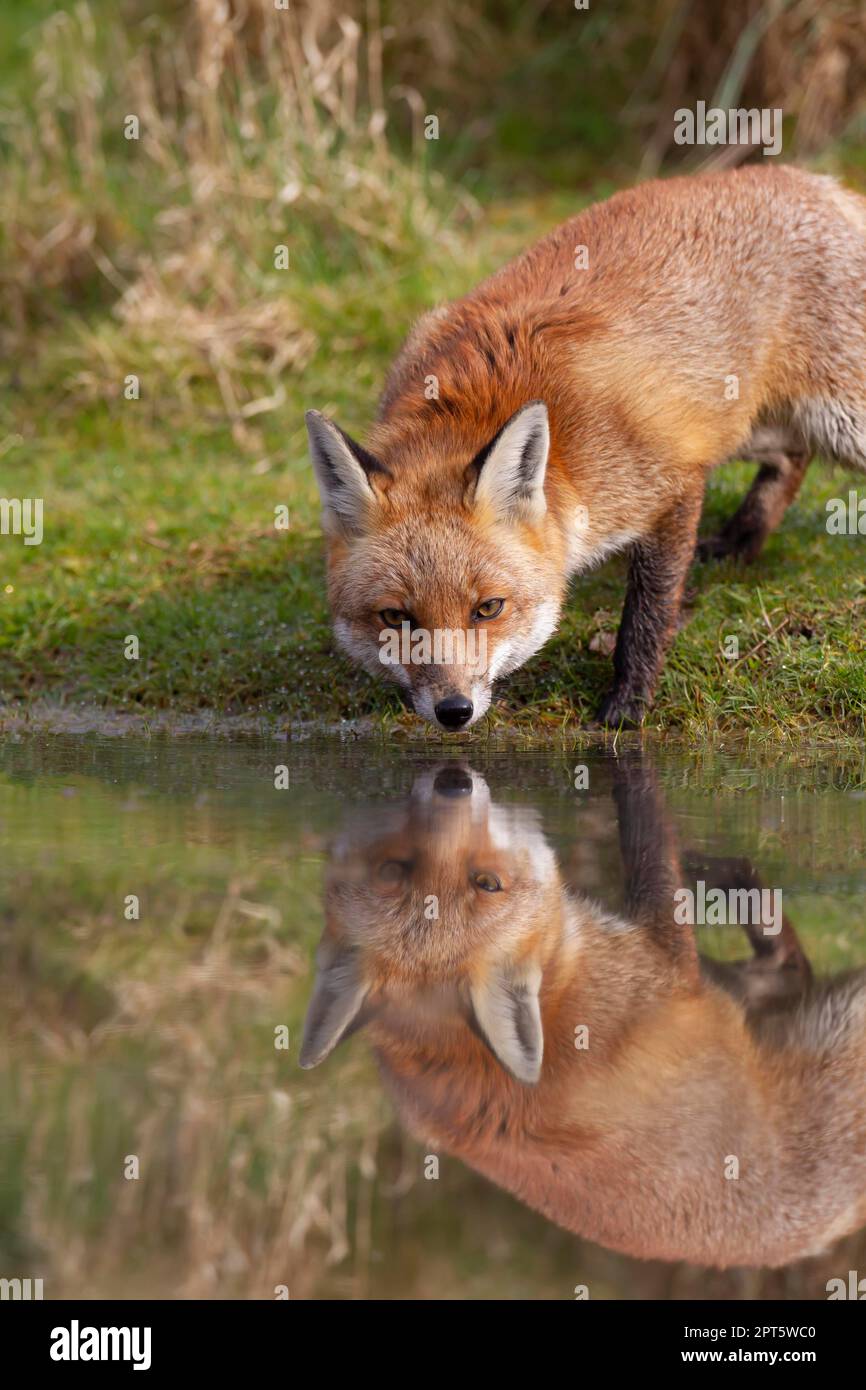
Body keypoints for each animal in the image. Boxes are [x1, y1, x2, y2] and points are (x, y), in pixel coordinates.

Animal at [300, 756, 866, 1269]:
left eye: (392, 869)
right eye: (490, 883)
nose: (450, 781)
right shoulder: (666, 958)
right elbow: (647, 839)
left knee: (787, 967)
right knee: (791, 964)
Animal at [305, 164, 866, 730]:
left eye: (488, 608)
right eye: (396, 616)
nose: (454, 711)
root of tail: (813, 179)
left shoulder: (672, 481)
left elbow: (646, 614)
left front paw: (628, 705)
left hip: (837, 422)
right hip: (748, 425)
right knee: (793, 457)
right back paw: (743, 539)